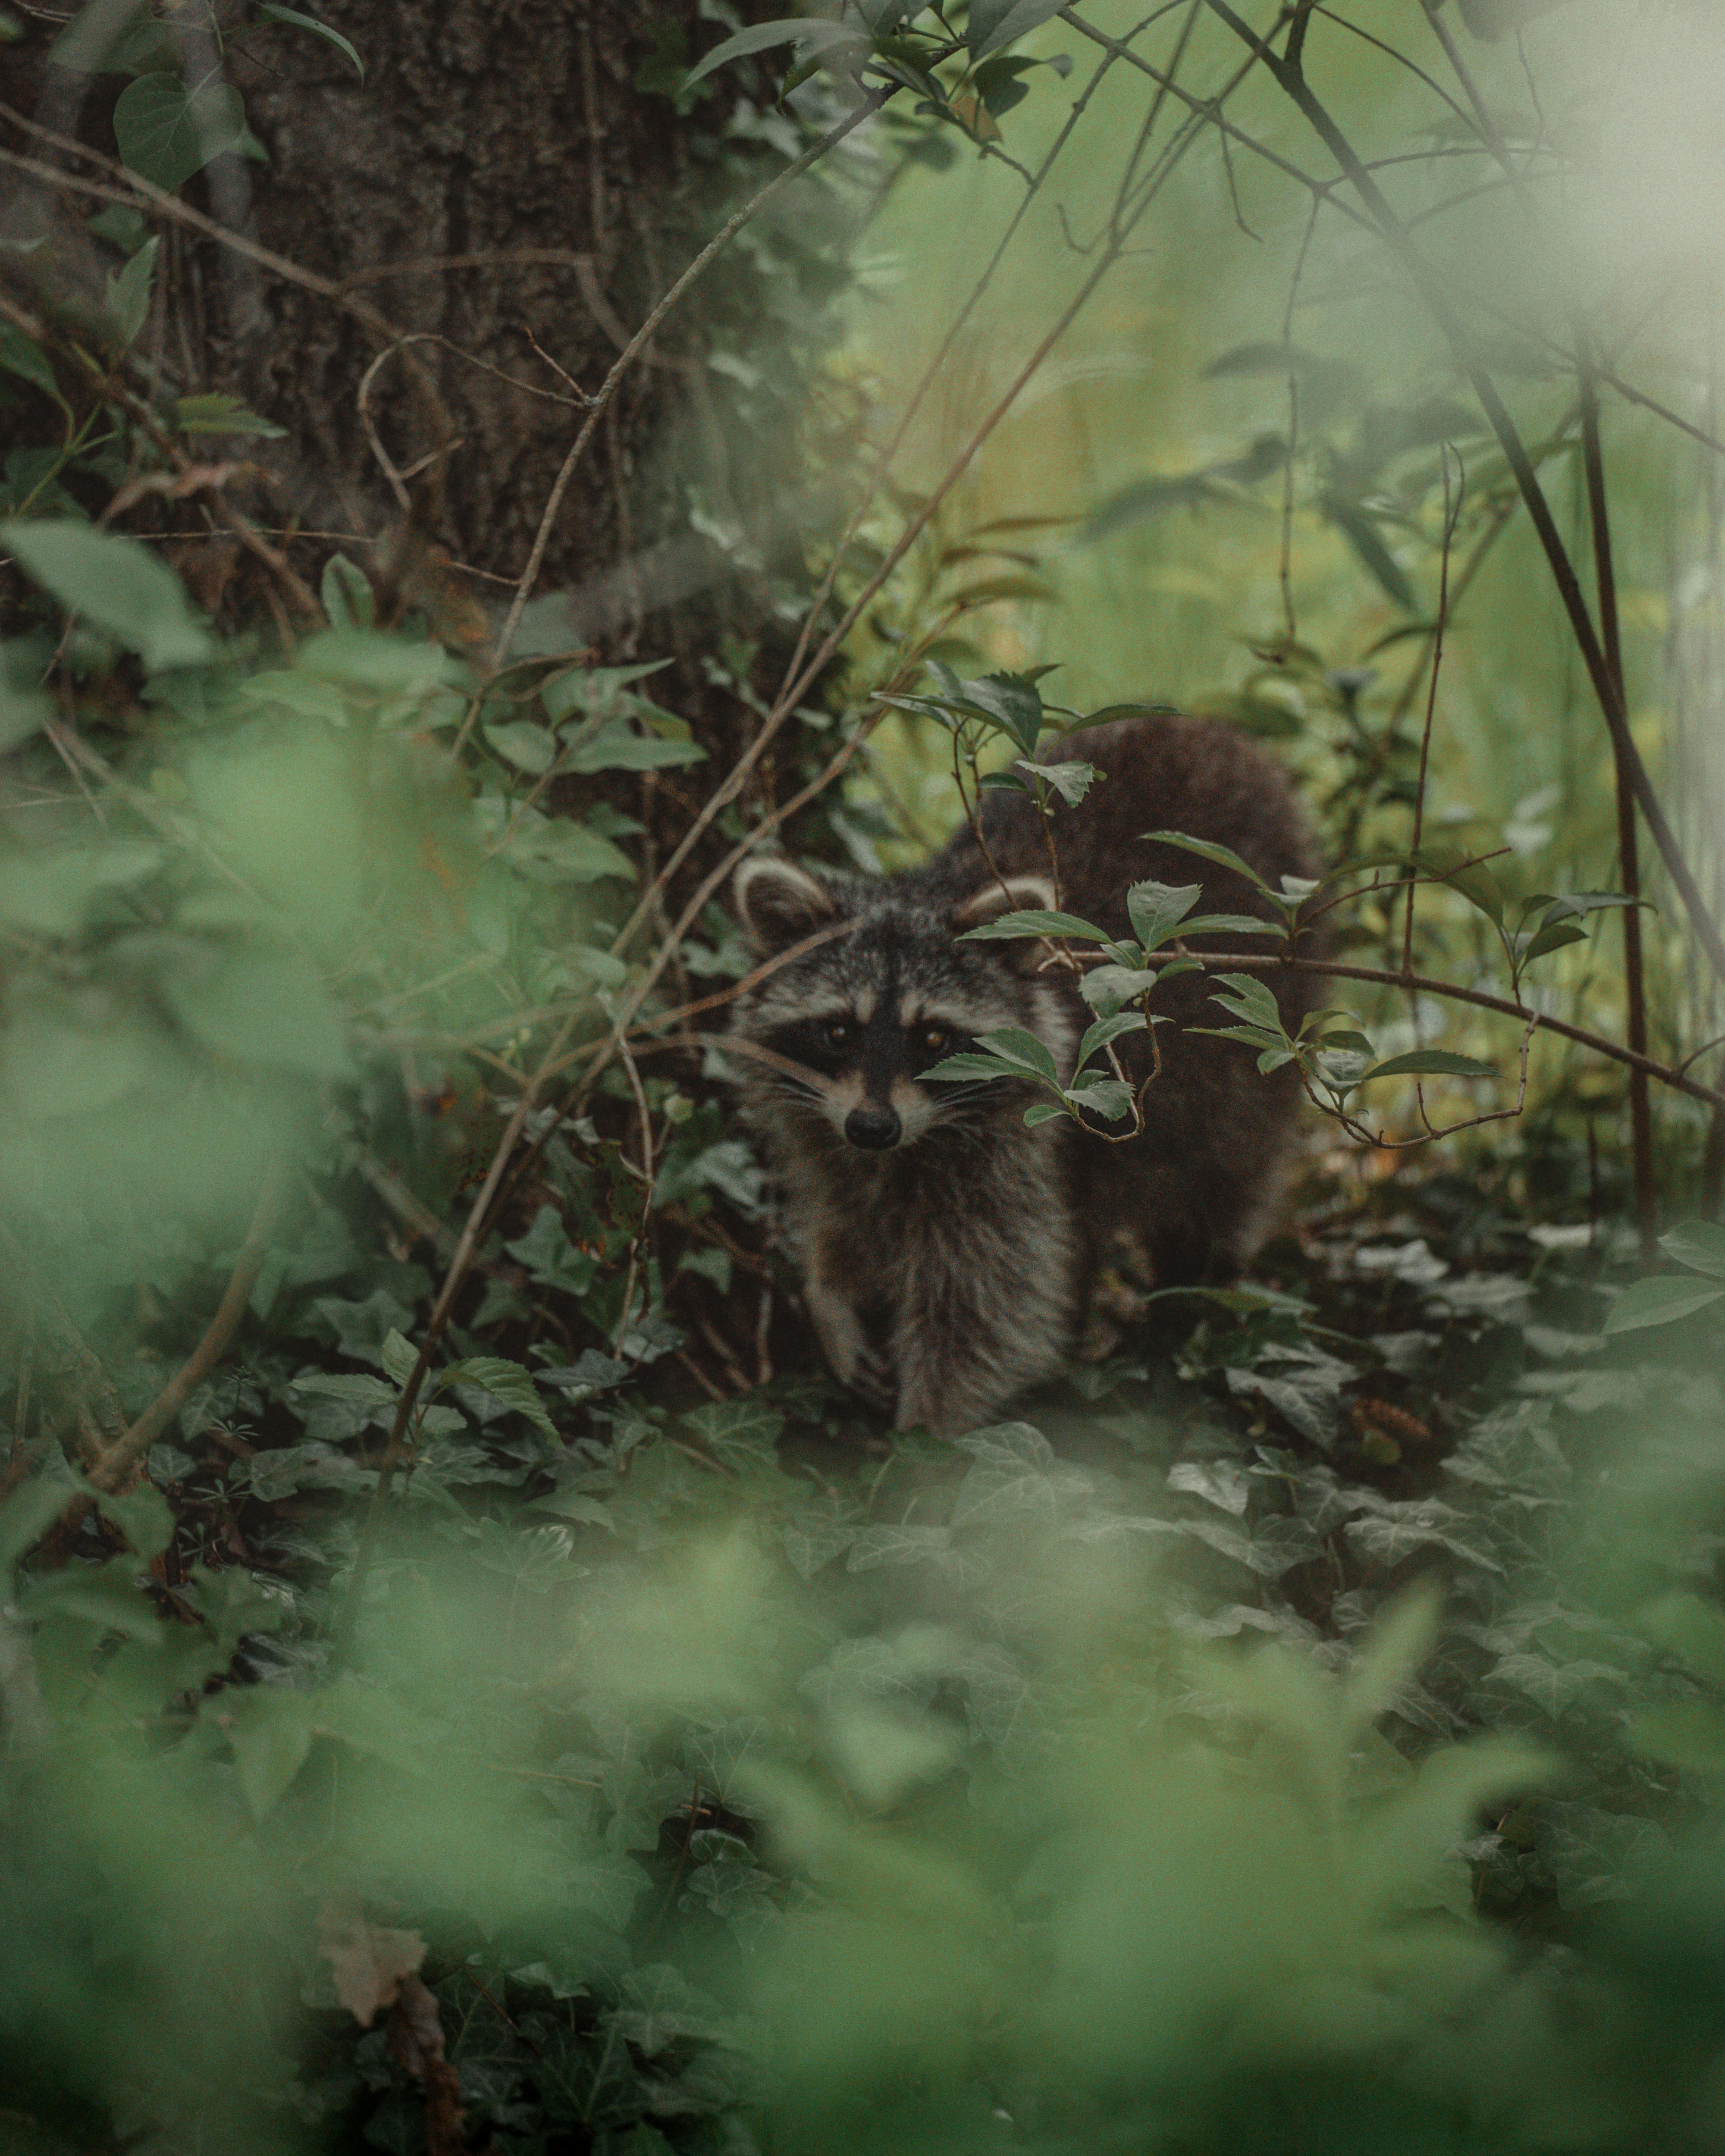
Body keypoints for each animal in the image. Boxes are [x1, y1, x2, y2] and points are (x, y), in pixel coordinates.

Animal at [725, 711, 1320, 1436]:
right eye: (839, 1031)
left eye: (934, 1038)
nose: (872, 1126)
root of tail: (1204, 728)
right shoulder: (828, 1134)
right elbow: (840, 1214)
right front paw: (830, 1291)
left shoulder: (1022, 1154)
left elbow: (994, 1313)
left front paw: (925, 1439)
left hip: (1261, 1038)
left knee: (1223, 1179)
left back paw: (1191, 1296)